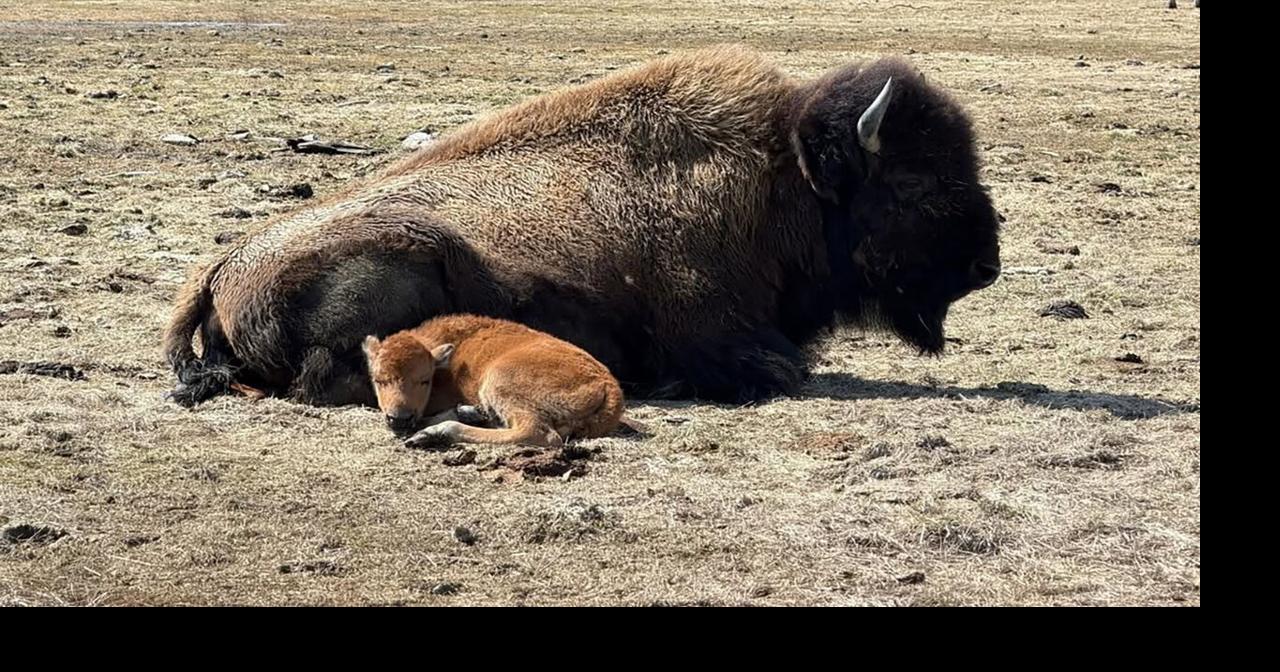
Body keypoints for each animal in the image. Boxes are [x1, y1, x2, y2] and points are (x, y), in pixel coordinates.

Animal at [163, 45, 1002, 407]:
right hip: (411, 254)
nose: (985, 265)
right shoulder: (717, 331)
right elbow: (777, 368)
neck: (778, 180)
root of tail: (221, 267)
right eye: (913, 181)